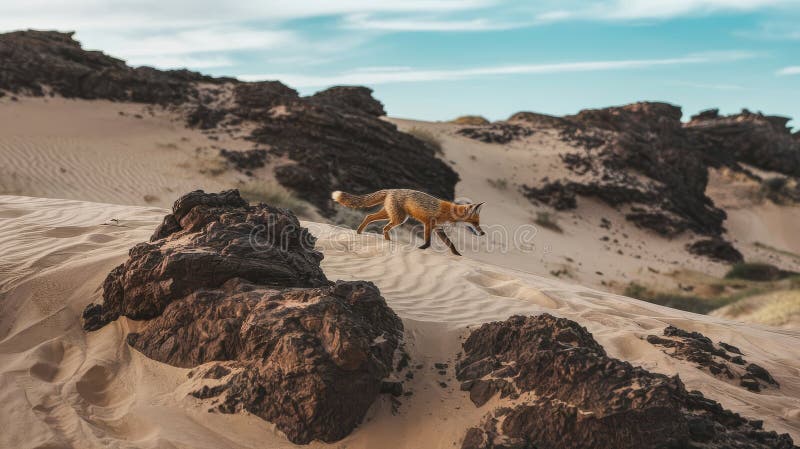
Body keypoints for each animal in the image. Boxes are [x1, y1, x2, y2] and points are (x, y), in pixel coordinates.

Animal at [331, 189, 485, 256]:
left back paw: (366, 234)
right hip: (398, 218)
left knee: (371, 218)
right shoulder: (429, 224)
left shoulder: (439, 229)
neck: (450, 215)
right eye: (475, 223)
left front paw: (457, 254)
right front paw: (422, 248)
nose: (483, 233)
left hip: (392, 216)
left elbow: (450, 244)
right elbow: (428, 241)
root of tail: (391, 189)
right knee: (381, 224)